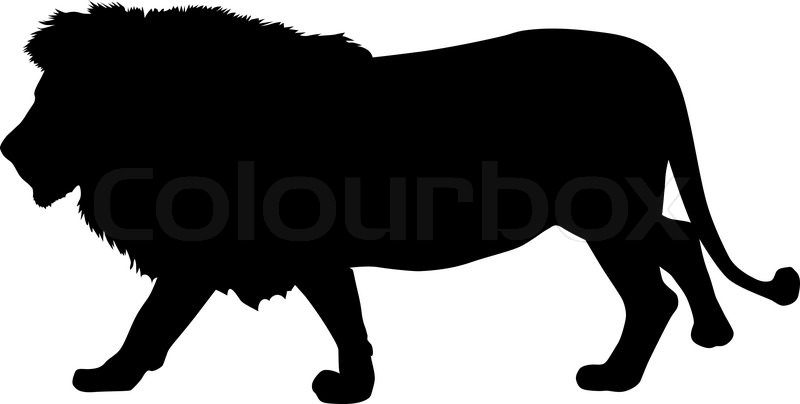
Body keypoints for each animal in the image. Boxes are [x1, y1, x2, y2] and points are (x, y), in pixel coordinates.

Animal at [1, 4, 797, 403]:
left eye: (67, 97)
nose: (10, 151)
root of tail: (654, 61)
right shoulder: (254, 251)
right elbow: (329, 316)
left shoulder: (253, 246)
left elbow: (159, 317)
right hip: (616, 209)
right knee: (679, 242)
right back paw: (714, 336)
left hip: (603, 211)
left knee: (653, 286)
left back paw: (616, 378)